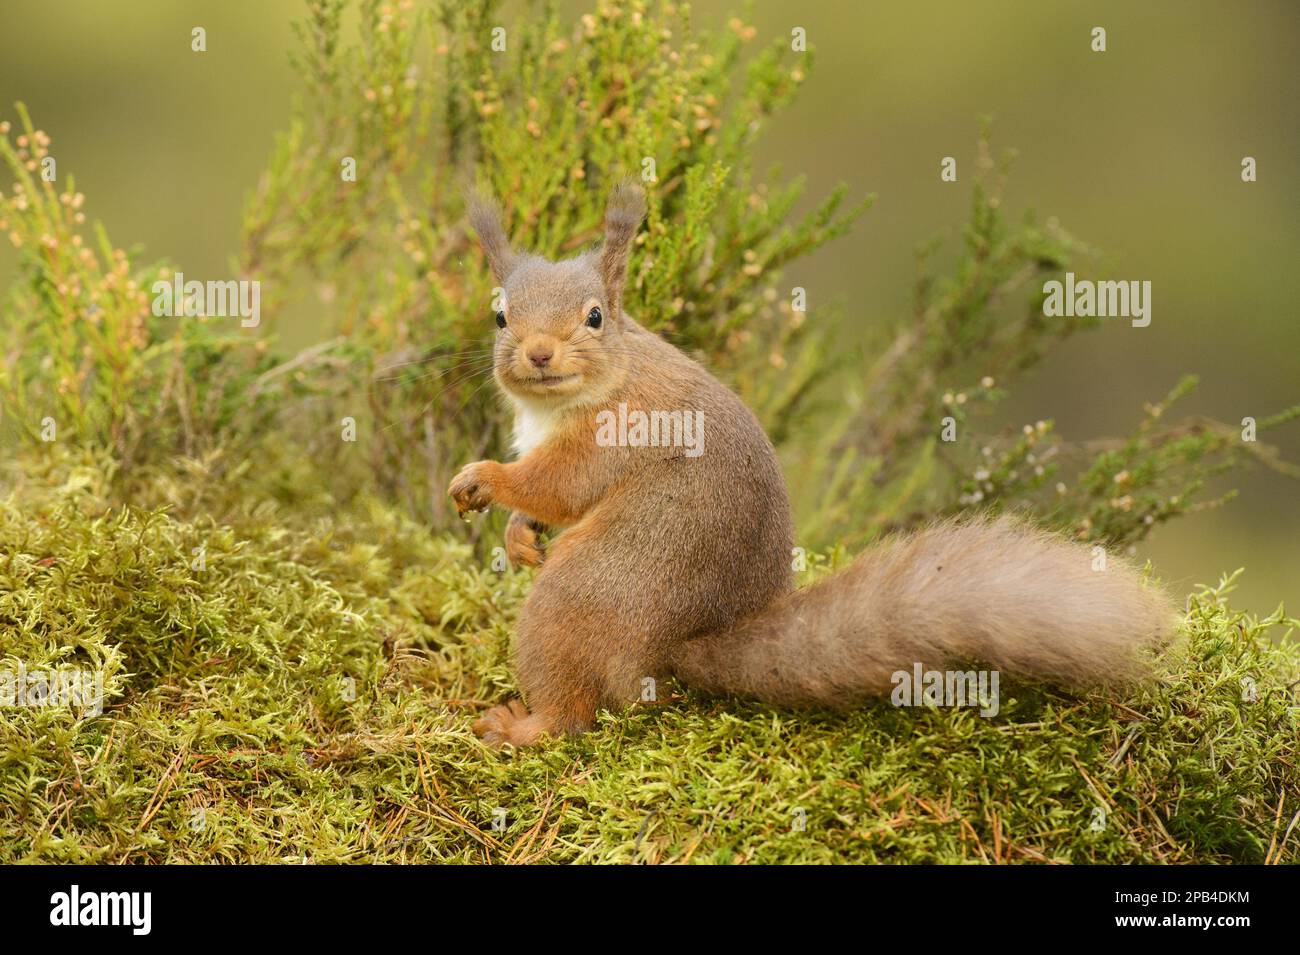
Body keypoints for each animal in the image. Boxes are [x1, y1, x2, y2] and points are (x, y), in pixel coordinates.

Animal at [449, 182, 1176, 749]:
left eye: (596, 317)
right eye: (499, 316)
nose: (539, 353)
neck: (568, 401)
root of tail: (673, 655)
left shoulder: (613, 435)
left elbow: (558, 485)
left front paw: (484, 479)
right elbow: (544, 503)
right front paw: (518, 537)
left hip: (575, 602)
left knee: (574, 713)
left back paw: (521, 725)